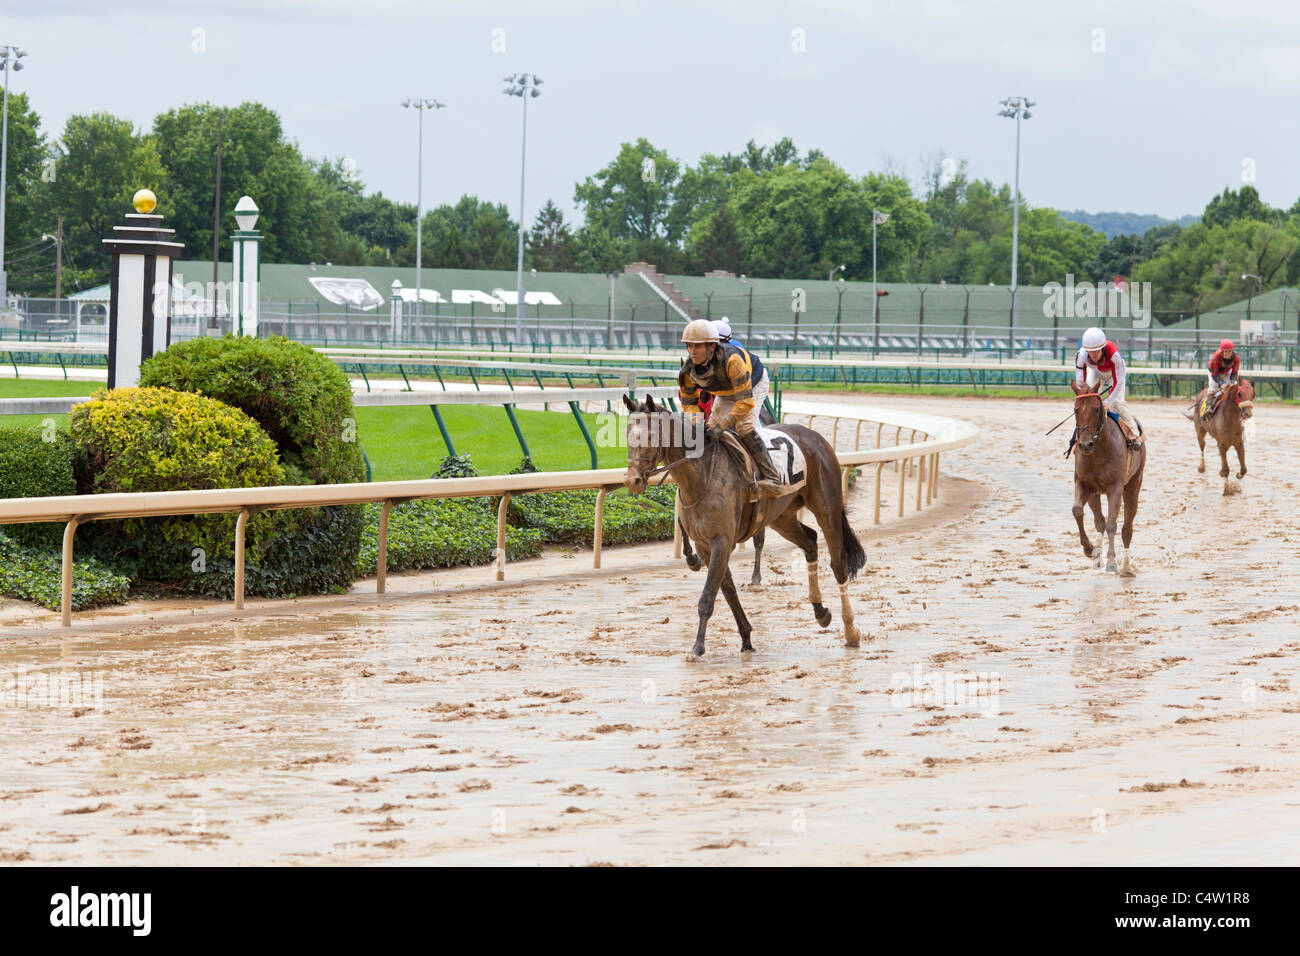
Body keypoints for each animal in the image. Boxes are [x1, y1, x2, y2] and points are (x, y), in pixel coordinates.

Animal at [623, 394, 866, 658]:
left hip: (826, 507)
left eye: (650, 436)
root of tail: (815, 437)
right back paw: (820, 611)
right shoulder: (705, 544)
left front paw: (697, 647)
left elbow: (708, 596)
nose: (632, 480)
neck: (701, 476)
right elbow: (727, 590)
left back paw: (851, 631)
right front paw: (746, 638)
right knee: (810, 540)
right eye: (627, 434)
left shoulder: (721, 541)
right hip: (781, 516)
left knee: (839, 564)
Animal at [1070, 391, 1146, 574]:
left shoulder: (1115, 489)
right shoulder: (1085, 486)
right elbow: (1078, 511)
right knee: (1099, 521)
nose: (1085, 444)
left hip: (1133, 486)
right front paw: (1089, 549)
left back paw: (1126, 567)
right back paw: (1097, 557)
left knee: (1127, 528)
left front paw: (1112, 561)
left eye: (1096, 409)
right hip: (1095, 494)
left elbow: (1112, 523)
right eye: (1076, 410)